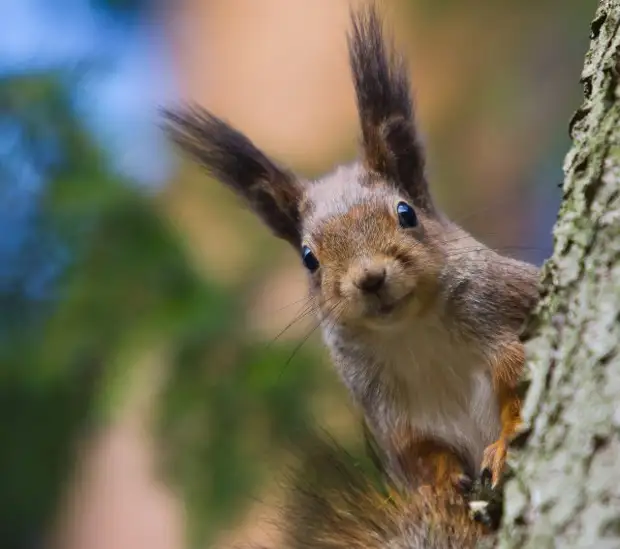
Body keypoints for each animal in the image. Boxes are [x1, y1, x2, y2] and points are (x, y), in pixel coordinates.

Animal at [162, 0, 540, 536]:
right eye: (309, 258)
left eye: (406, 213)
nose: (370, 278)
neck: (413, 333)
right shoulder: (396, 422)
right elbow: (425, 460)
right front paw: (441, 491)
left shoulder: (505, 315)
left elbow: (519, 390)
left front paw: (504, 445)